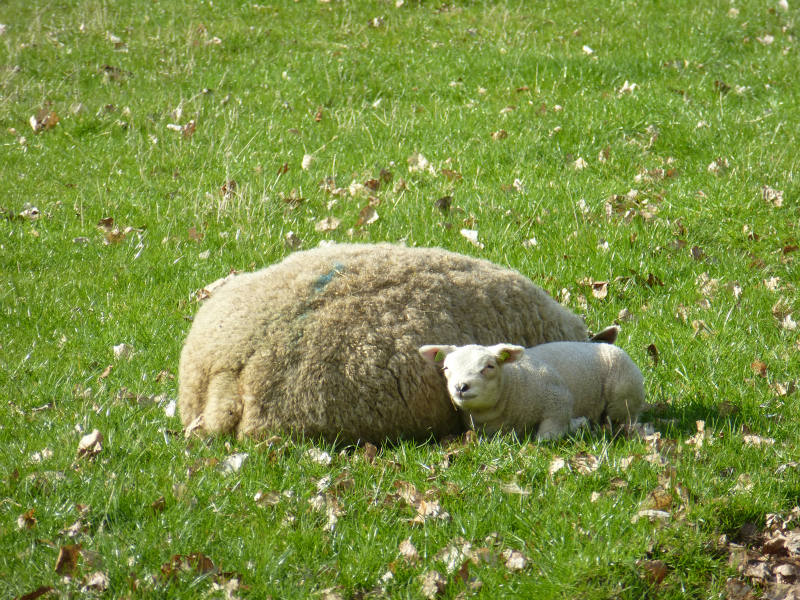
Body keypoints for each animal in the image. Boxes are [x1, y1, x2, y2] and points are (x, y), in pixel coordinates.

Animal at [419, 333, 645, 440]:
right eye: (446, 368)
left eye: (489, 366)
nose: (461, 387)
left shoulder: (559, 399)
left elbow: (546, 437)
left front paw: (578, 424)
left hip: (623, 394)